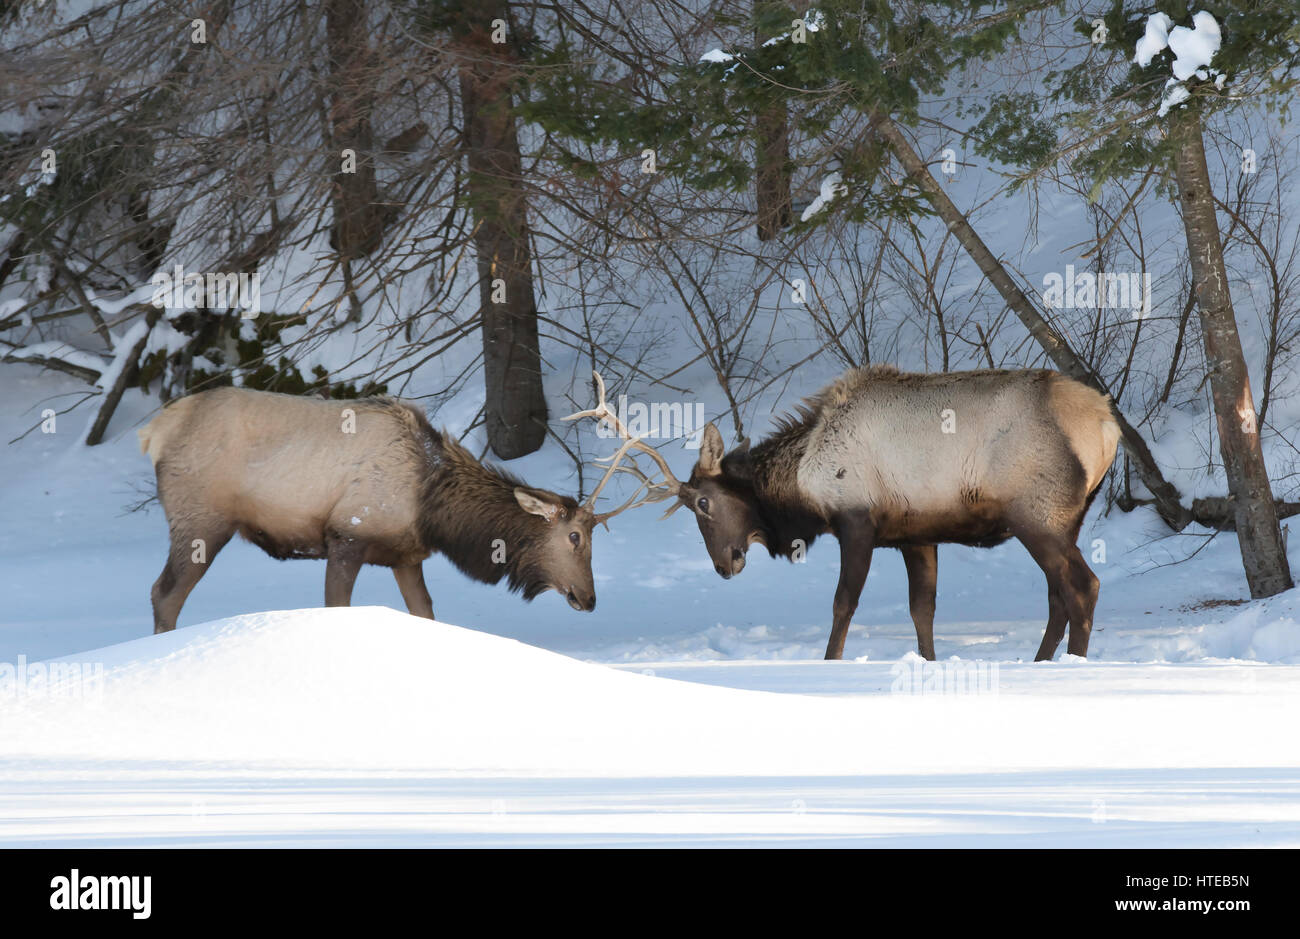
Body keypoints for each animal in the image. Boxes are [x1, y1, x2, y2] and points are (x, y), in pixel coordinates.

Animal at [138, 386, 656, 634]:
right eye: (575, 536)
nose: (589, 598)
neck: (433, 508)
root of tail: (154, 431)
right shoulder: (346, 536)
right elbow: (337, 605)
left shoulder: (405, 556)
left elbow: (425, 613)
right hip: (201, 520)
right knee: (164, 593)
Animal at [567, 367, 1120, 662]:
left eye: (702, 502)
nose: (724, 564)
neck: (802, 485)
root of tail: (1106, 425)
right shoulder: (917, 534)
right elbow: (922, 611)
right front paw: (927, 661)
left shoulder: (856, 522)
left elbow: (842, 605)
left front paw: (830, 663)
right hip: (1068, 518)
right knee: (1057, 596)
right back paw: (1041, 662)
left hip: (1037, 515)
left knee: (1083, 586)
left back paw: (1071, 663)